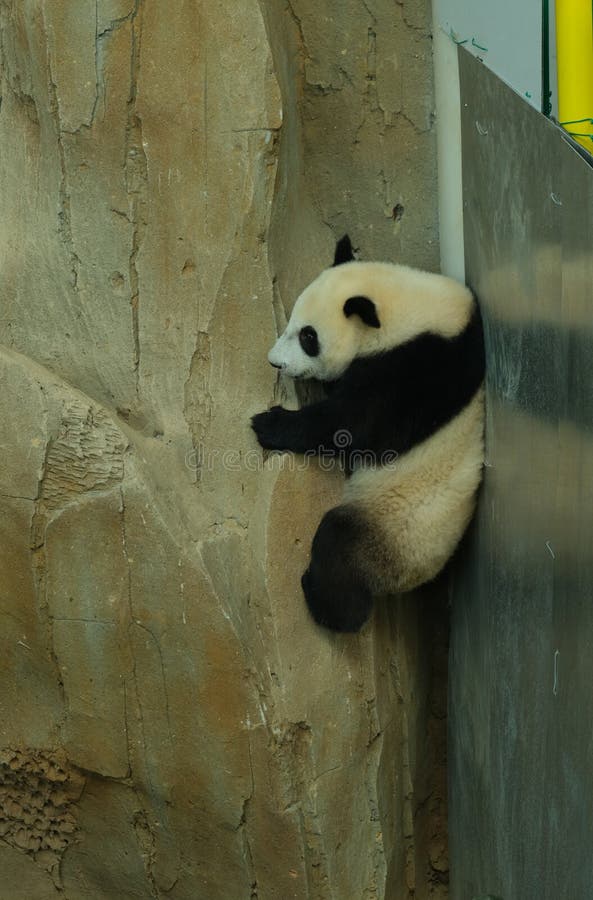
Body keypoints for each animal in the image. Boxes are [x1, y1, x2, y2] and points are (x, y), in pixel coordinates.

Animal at [252, 236, 485, 632]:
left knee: (338, 544)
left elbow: (352, 425)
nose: (275, 362)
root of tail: (419, 577)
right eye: (292, 321)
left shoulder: (415, 374)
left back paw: (322, 601)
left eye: (309, 337)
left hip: (398, 527)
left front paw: (269, 424)